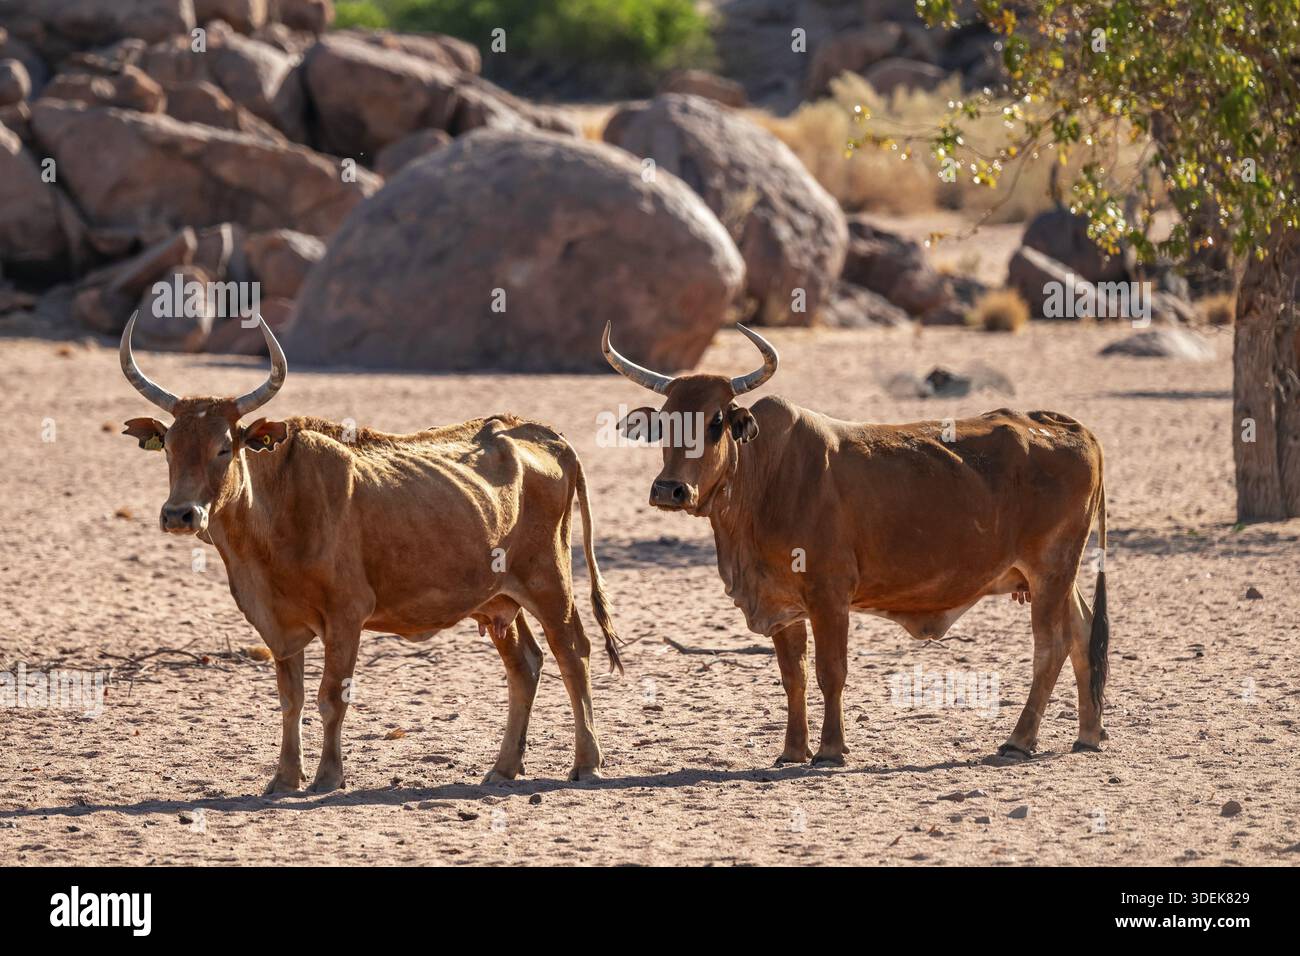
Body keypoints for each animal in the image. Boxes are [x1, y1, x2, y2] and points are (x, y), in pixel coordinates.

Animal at [118, 312, 622, 792]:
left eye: (224, 448)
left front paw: (327, 776)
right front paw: (284, 777)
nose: (180, 514)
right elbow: (291, 700)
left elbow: (330, 698)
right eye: (168, 447)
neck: (277, 505)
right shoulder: (280, 627)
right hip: (500, 600)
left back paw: (586, 762)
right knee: (526, 666)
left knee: (573, 653)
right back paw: (503, 768)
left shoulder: (346, 615)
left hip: (549, 581)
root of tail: (540, 433)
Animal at [602, 321, 1108, 765]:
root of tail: (1065, 425)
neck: (764, 477)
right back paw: (1088, 734)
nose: (670, 490)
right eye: (667, 424)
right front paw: (793, 750)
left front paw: (830, 750)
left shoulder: (829, 596)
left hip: (1051, 568)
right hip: (1053, 576)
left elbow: (831, 673)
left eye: (714, 423)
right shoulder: (783, 602)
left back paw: (1020, 740)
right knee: (1082, 632)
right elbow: (794, 677)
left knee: (1051, 645)